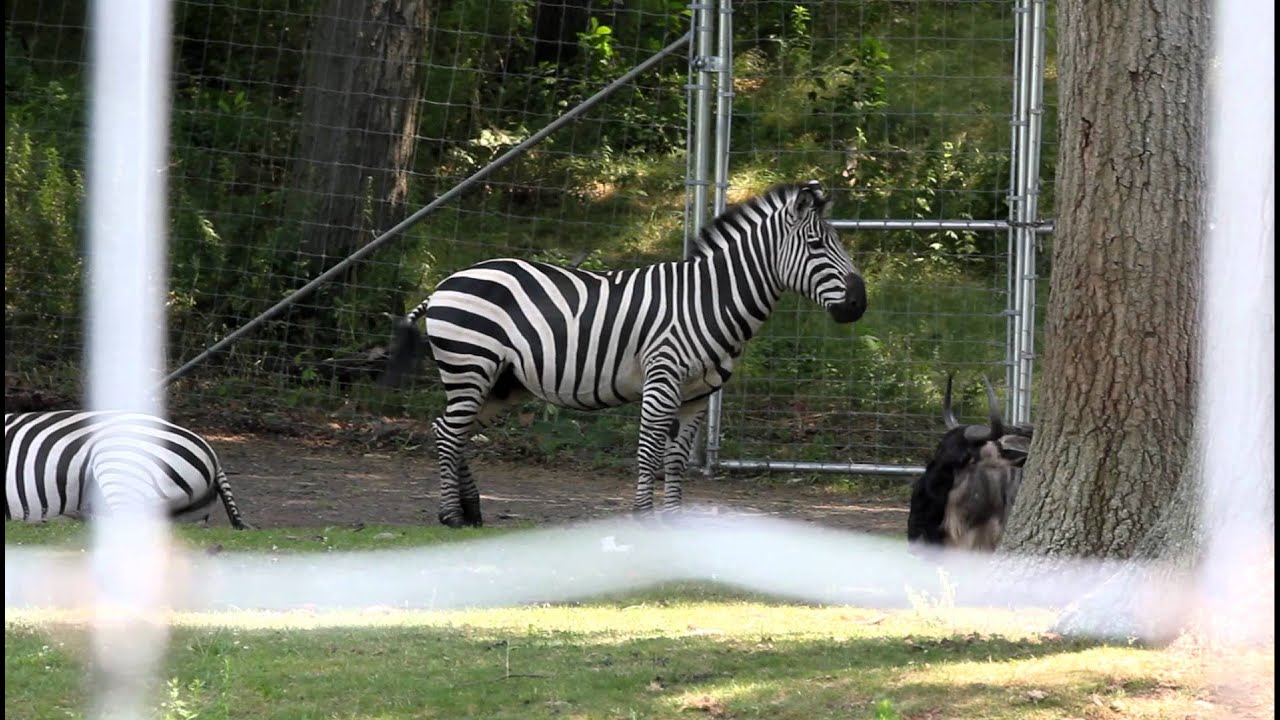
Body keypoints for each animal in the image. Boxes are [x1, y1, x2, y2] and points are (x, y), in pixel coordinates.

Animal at [383, 181, 868, 528]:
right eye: (817, 246)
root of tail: (446, 283)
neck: (710, 299)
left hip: (502, 383)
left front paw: (673, 519)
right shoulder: (662, 379)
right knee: (449, 432)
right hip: (471, 366)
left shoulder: (697, 396)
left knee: (452, 430)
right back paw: (451, 516)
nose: (859, 304)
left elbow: (675, 458)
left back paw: (472, 510)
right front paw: (643, 516)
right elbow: (649, 450)